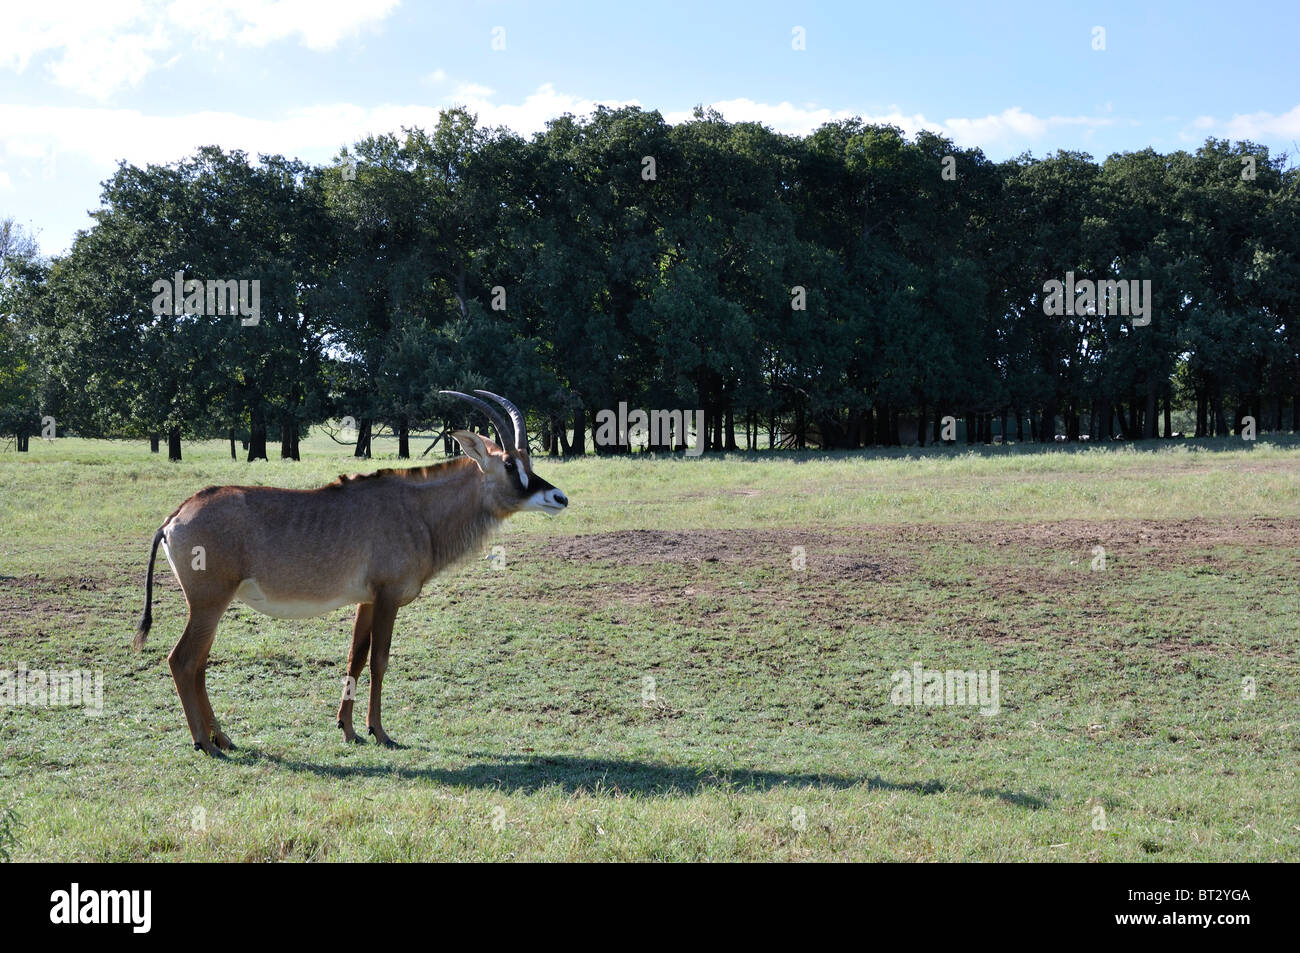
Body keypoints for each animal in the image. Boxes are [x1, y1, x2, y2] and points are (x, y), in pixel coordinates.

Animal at [132, 391, 567, 755]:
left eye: (529, 461)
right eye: (509, 464)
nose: (559, 497)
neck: (417, 511)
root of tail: (175, 517)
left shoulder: (367, 600)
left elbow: (354, 658)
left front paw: (348, 729)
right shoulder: (388, 597)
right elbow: (380, 661)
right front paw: (381, 732)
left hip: (213, 606)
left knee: (199, 664)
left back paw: (223, 738)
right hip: (208, 602)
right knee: (183, 660)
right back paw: (205, 743)